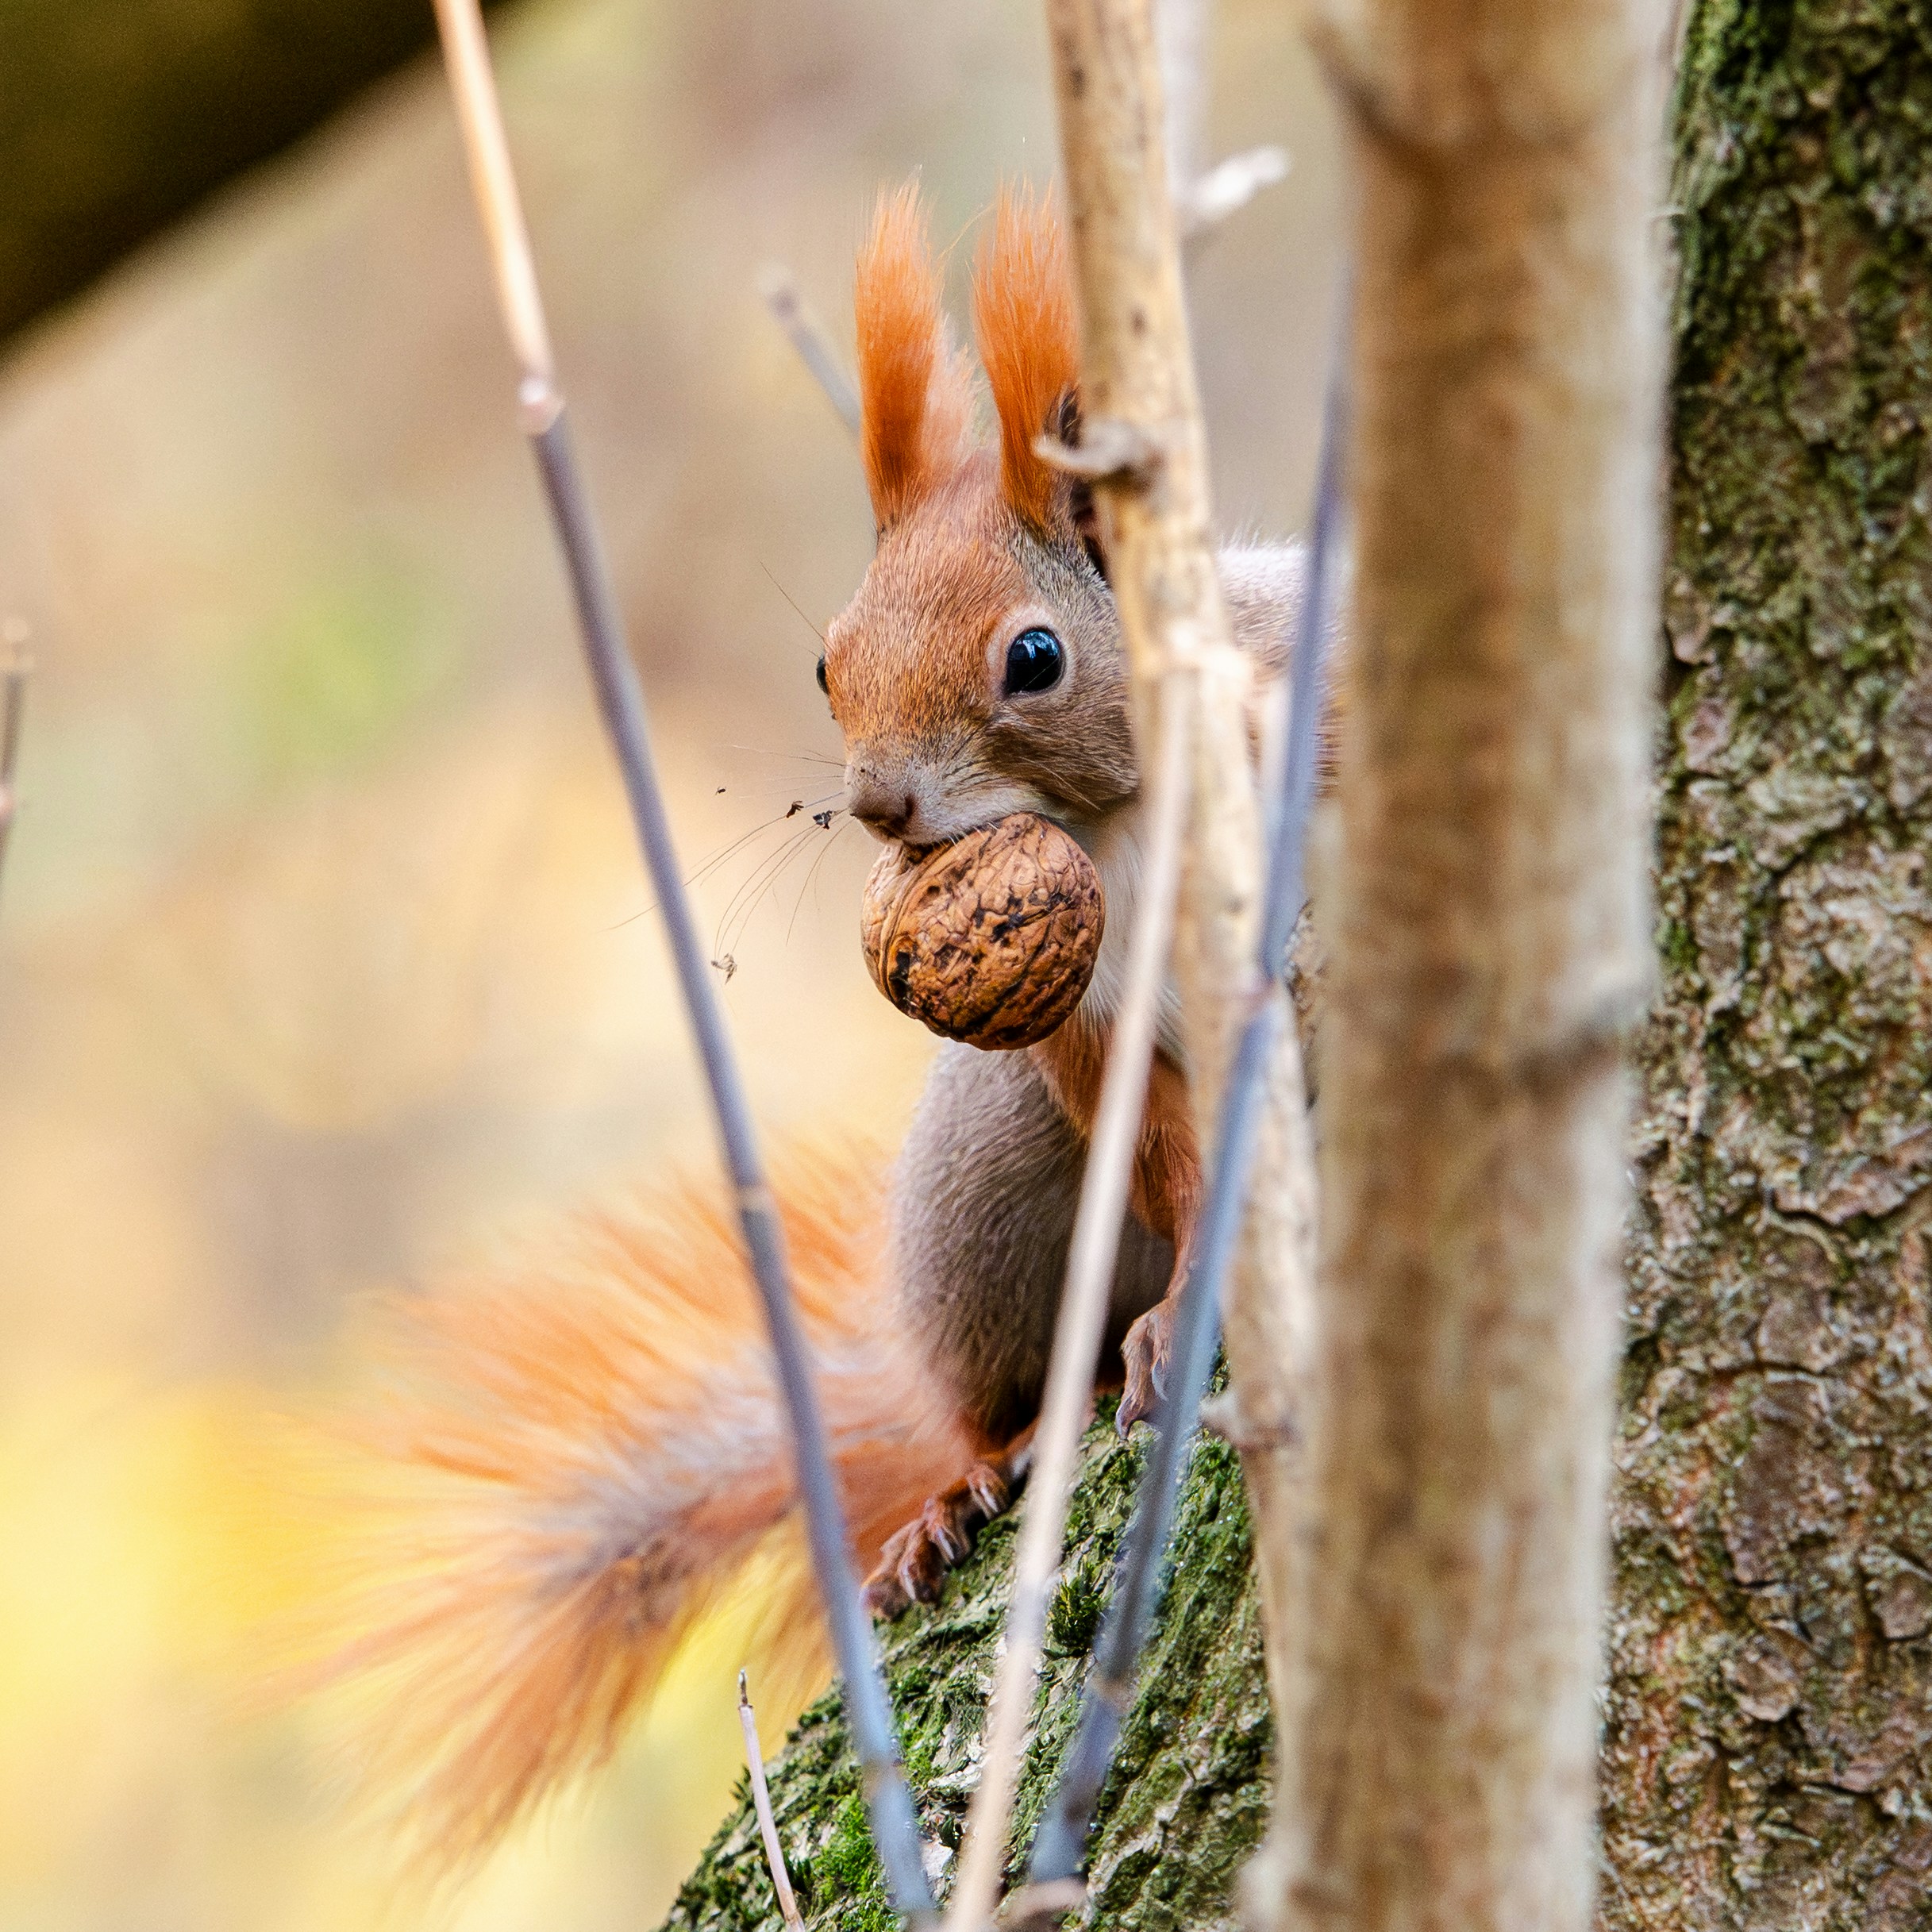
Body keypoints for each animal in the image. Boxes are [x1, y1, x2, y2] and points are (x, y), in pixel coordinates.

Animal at [311, 182, 1319, 1875]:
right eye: (827, 657)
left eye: (1032, 657)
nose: (877, 804)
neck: (1115, 825)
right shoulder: (1092, 1026)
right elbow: (1168, 1146)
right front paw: (1175, 1307)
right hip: (978, 1186)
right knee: (987, 1398)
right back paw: (964, 1483)